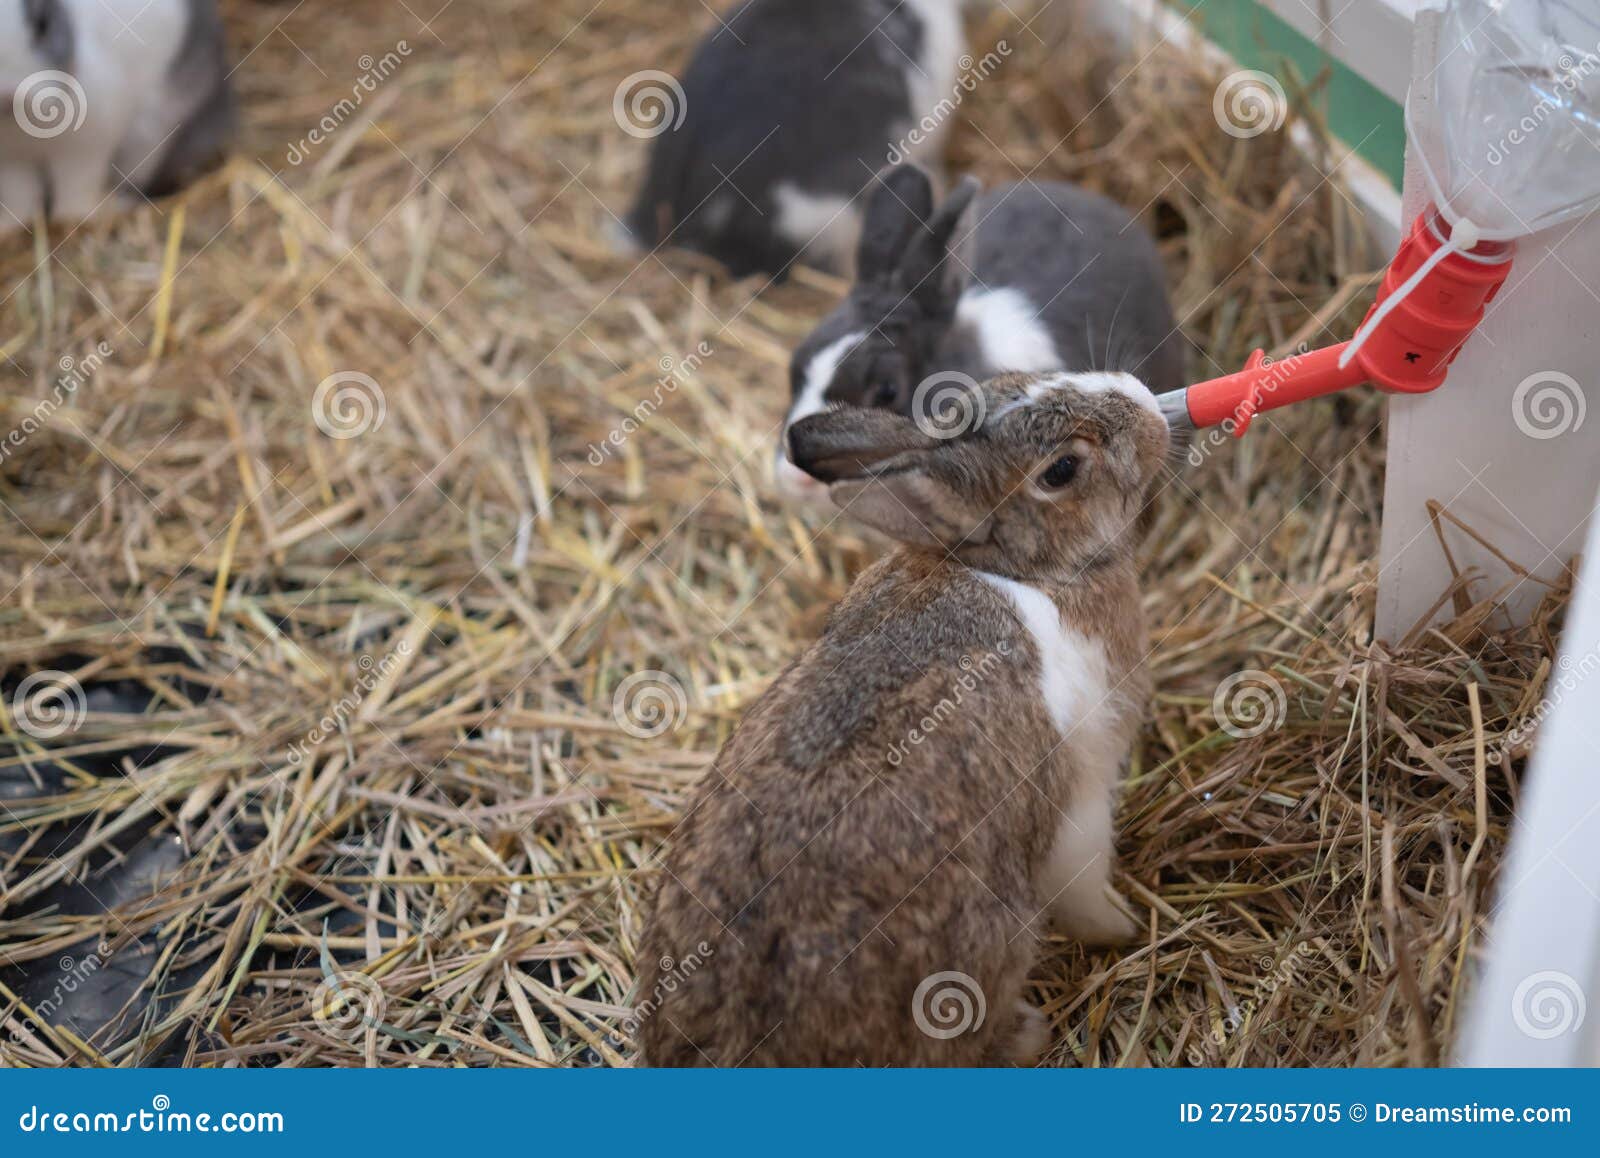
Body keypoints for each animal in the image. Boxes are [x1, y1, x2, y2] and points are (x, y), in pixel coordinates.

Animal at [0, 0, 234, 235]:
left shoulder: (86, 150)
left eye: (42, 25)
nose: (7, 96)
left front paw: (76, 218)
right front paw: (8, 226)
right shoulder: (12, 165)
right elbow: (19, 198)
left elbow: (75, 189)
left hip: (149, 140)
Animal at [635, 369, 1169, 1066]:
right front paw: (1125, 928)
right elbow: (1084, 884)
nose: (1146, 404)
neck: (1022, 571)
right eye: (1062, 469)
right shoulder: (1080, 796)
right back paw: (1028, 1033)